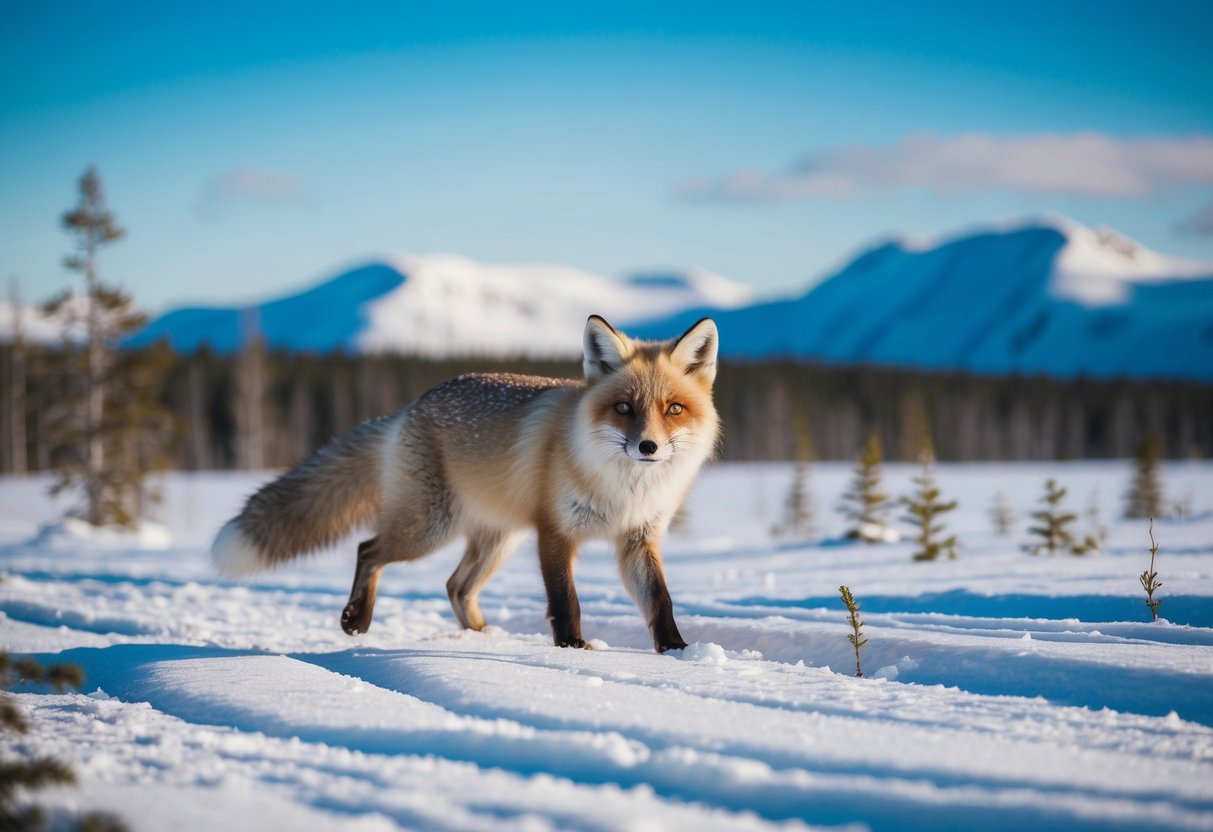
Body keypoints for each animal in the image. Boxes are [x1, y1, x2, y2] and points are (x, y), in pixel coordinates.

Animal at [211, 315, 721, 652]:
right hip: (430, 529)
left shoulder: (638, 538)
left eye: (674, 409)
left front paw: (677, 651)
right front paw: (573, 648)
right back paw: (357, 620)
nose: (648, 447)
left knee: (455, 585)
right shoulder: (555, 533)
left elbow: (660, 601)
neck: (624, 488)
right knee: (369, 550)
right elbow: (566, 600)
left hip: (498, 540)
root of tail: (408, 407)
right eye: (624, 408)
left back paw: (482, 636)